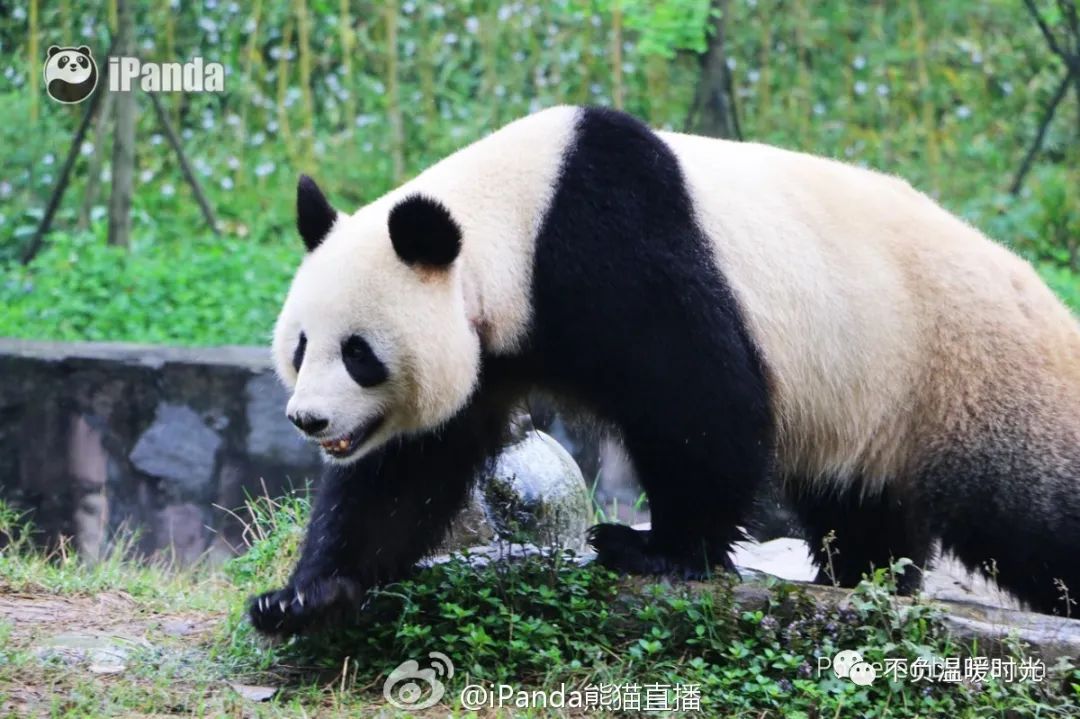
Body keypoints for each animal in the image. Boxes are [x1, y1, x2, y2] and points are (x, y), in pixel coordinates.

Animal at [250, 106, 1080, 634]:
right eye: (300, 346)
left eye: (359, 353)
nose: (309, 419)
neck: (510, 215)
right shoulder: (493, 343)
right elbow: (408, 470)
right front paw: (301, 597)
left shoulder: (611, 241)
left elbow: (701, 402)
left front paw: (652, 548)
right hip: (872, 406)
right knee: (860, 503)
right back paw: (859, 578)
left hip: (966, 378)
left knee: (1034, 512)